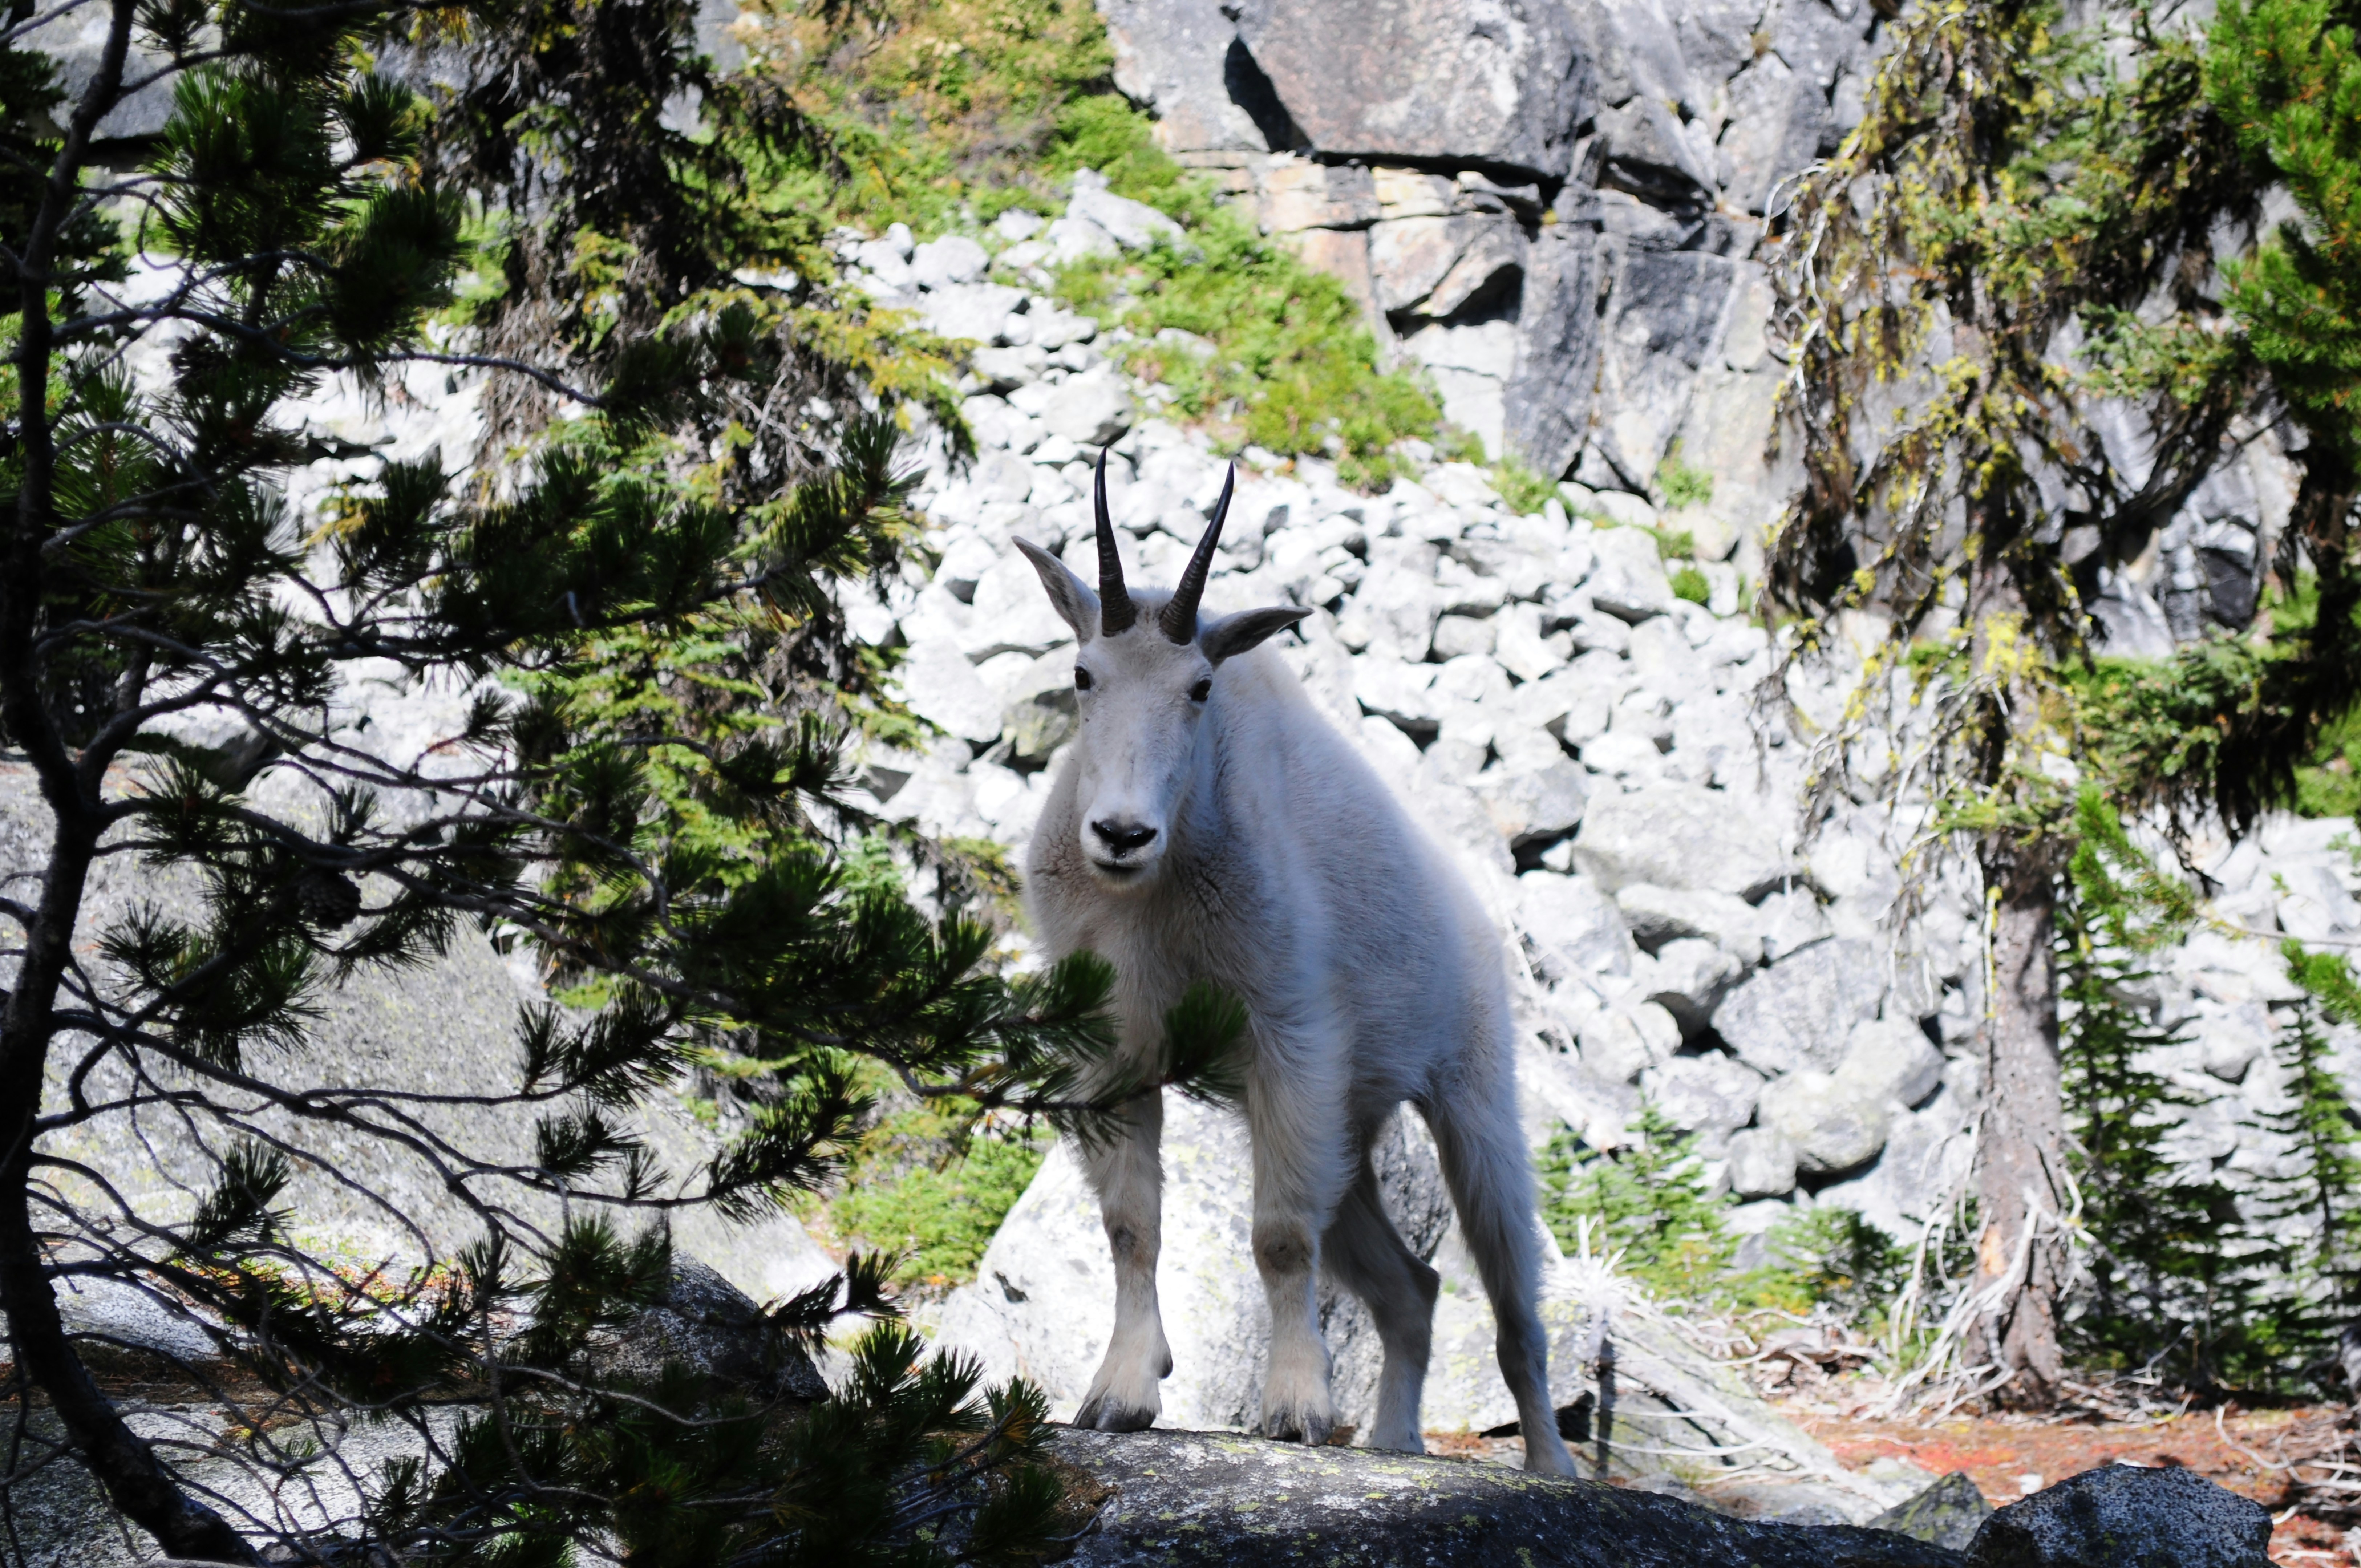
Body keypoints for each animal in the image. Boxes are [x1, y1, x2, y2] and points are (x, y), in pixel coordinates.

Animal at [1010, 454, 1576, 1473]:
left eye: (1200, 687)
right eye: (1081, 675)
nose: (1120, 834)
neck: (1157, 891)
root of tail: (1479, 919)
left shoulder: (1288, 1037)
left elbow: (1277, 1237)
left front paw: (1296, 1410)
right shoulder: (1114, 1051)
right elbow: (1130, 1223)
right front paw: (1118, 1394)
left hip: (1472, 1103)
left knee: (1514, 1303)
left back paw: (1548, 1464)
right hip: (1351, 1135)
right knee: (1413, 1287)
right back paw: (1395, 1442)